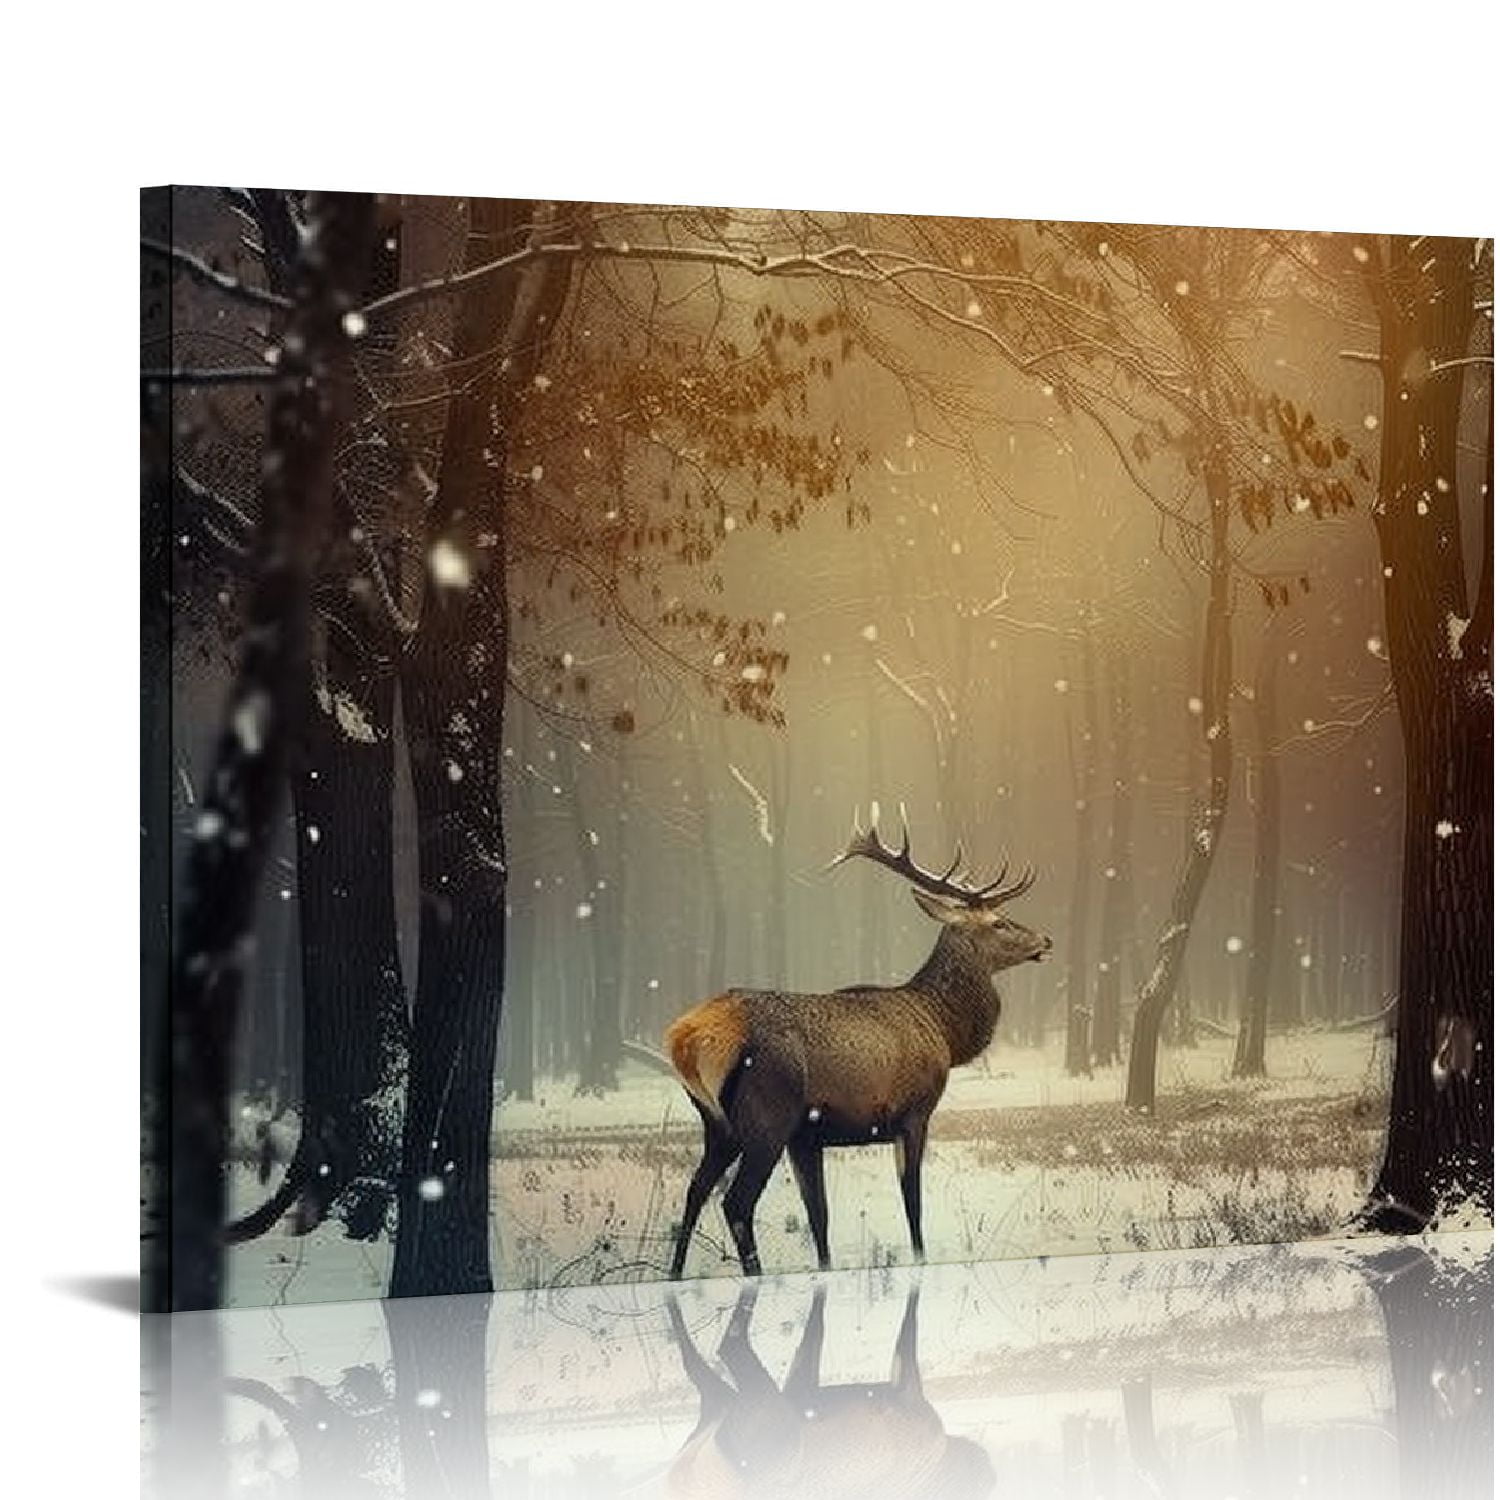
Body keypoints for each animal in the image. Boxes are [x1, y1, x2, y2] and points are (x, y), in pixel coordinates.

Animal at [663, 808, 1050, 1279]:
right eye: (999, 922)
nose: (1045, 940)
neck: (945, 1030)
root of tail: (687, 1036)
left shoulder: (807, 1138)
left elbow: (819, 1217)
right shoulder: (913, 1113)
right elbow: (912, 1203)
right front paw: (919, 1258)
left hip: (718, 1124)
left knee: (696, 1189)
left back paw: (674, 1272)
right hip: (767, 1115)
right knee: (736, 1202)